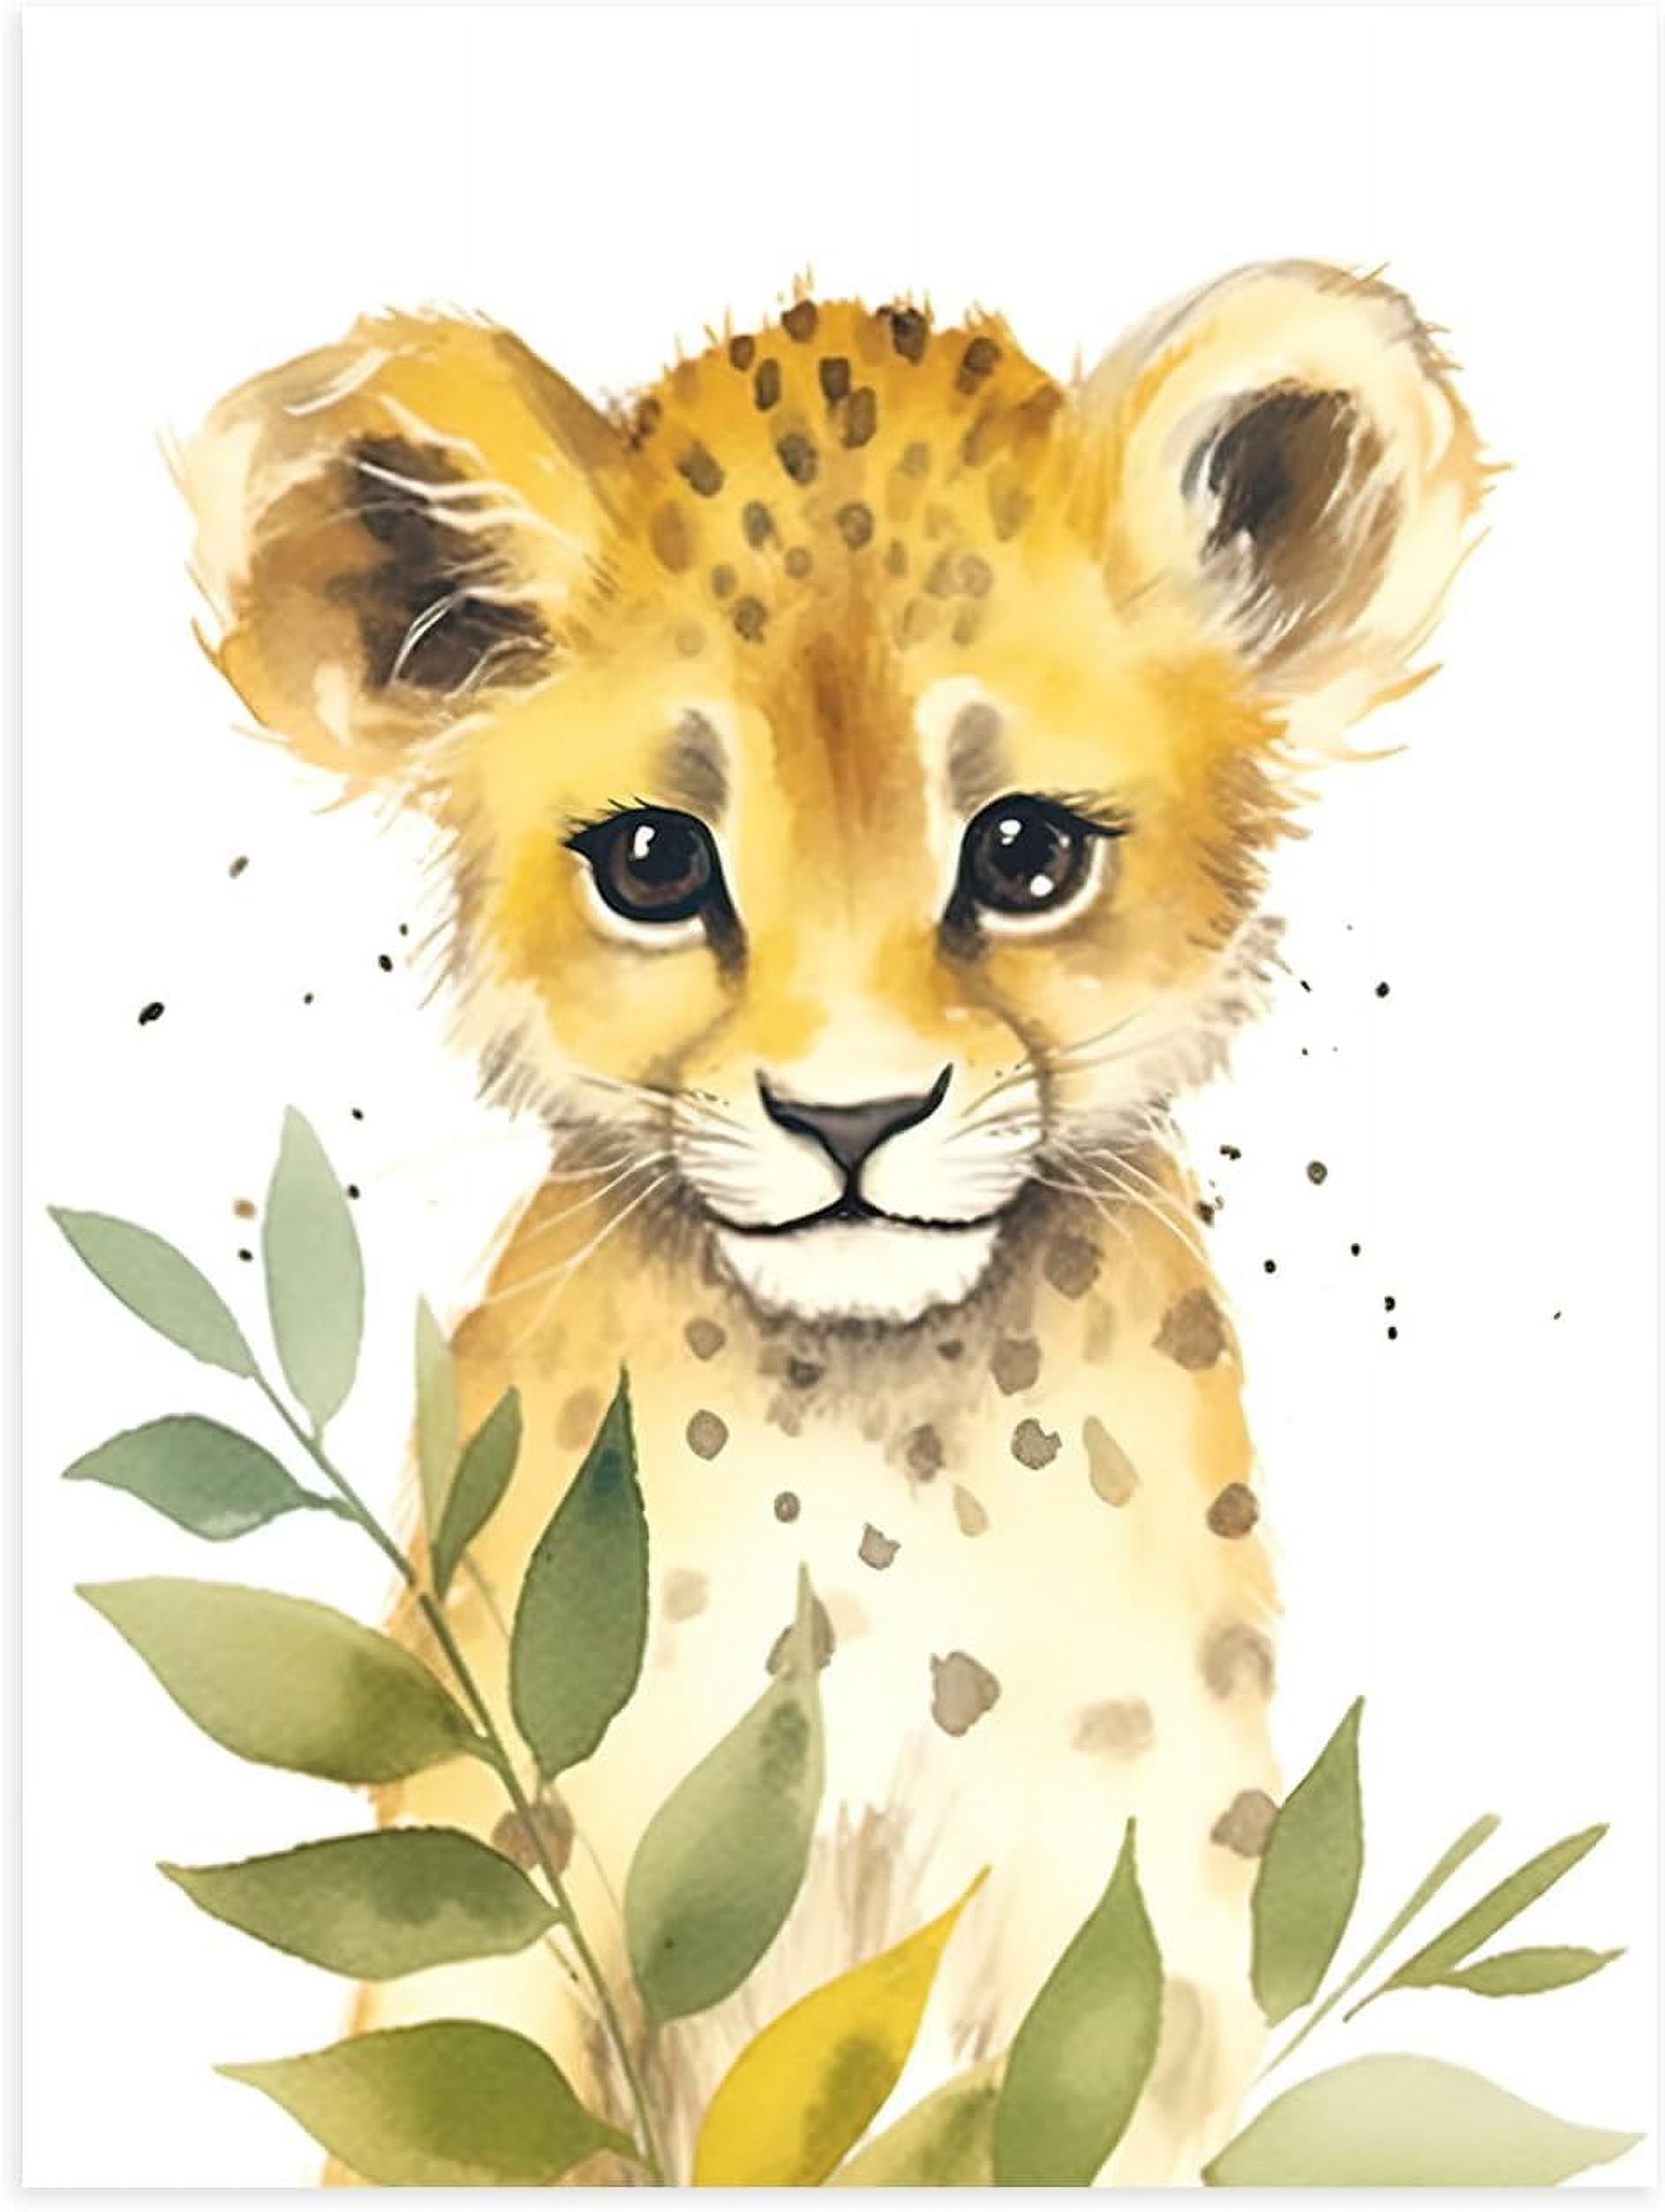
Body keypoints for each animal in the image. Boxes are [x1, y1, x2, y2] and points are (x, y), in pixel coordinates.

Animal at [182, 260, 1485, 2183]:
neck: (877, 1466)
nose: (851, 1117)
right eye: (654, 862)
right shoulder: (503, 1891)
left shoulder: (1135, 1919)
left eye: (1024, 853)